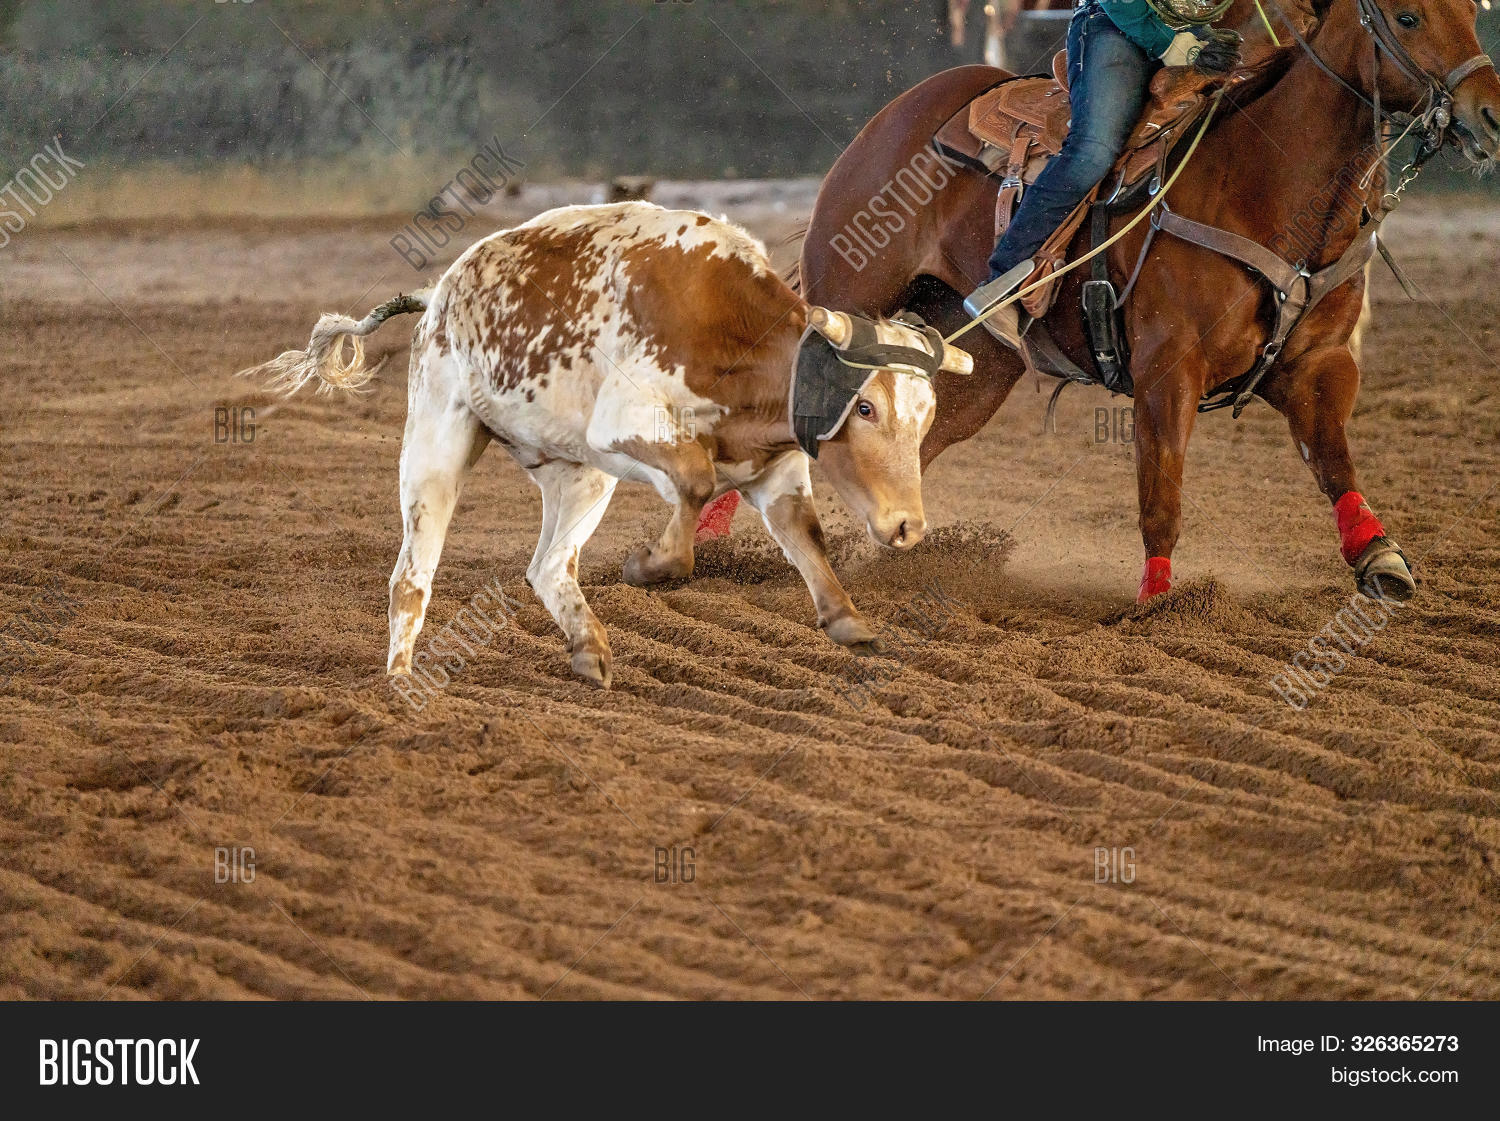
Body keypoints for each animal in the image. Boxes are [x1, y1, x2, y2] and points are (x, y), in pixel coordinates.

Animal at [242, 202, 964, 689]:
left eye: (926, 415)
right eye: (865, 406)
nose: (907, 525)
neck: (730, 329)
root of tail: (440, 290)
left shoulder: (774, 468)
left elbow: (803, 533)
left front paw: (846, 619)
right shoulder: (625, 425)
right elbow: (696, 479)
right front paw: (653, 564)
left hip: (580, 475)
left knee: (548, 567)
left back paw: (588, 648)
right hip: (436, 441)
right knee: (411, 578)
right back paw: (396, 683)